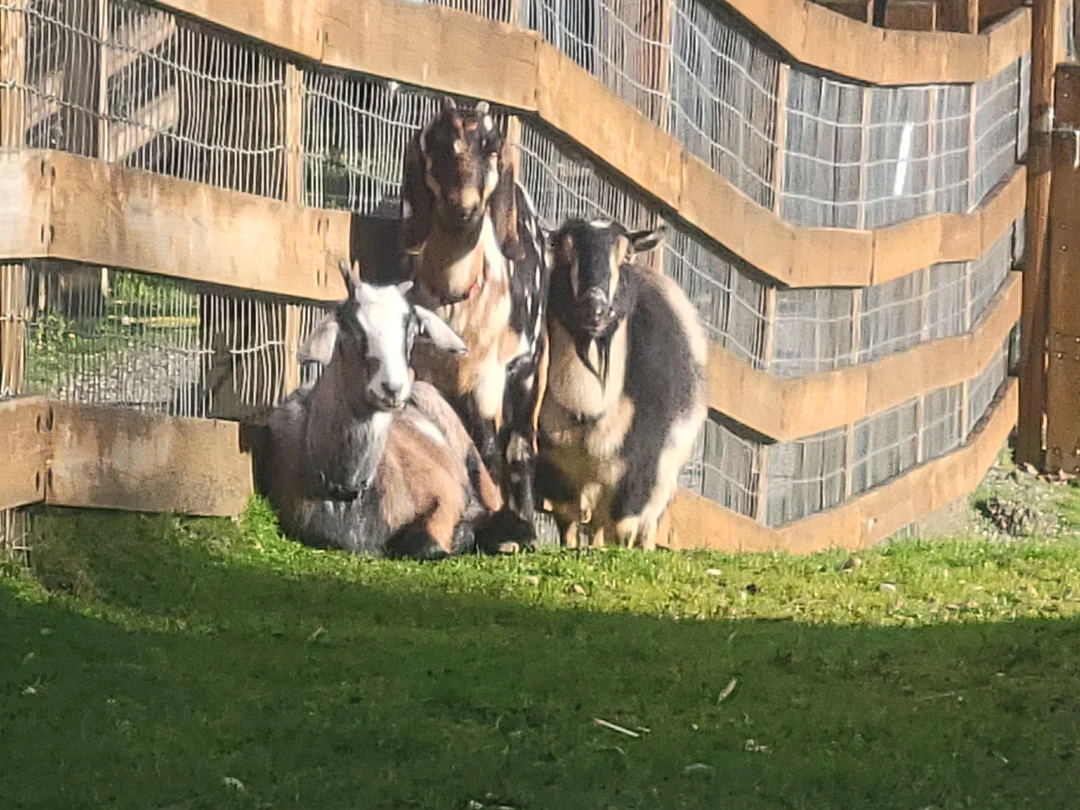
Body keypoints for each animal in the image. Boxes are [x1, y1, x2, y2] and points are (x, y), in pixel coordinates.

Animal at [264, 260, 526, 560]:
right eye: (351, 327)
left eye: (412, 331)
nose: (393, 388)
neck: (346, 485)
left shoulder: (445, 494)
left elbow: (430, 543)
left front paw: (466, 532)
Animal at [400, 95, 550, 542]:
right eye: (435, 145)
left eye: (493, 148)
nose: (462, 208)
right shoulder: (426, 369)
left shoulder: (489, 375)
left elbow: (488, 447)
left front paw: (504, 527)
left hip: (529, 371)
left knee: (519, 445)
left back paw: (522, 526)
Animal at [535, 219, 707, 551]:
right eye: (563, 251)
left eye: (626, 256)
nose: (595, 309)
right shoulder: (554, 462)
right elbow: (567, 521)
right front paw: (571, 550)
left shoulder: (640, 460)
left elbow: (625, 524)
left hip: (664, 471)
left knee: (642, 521)